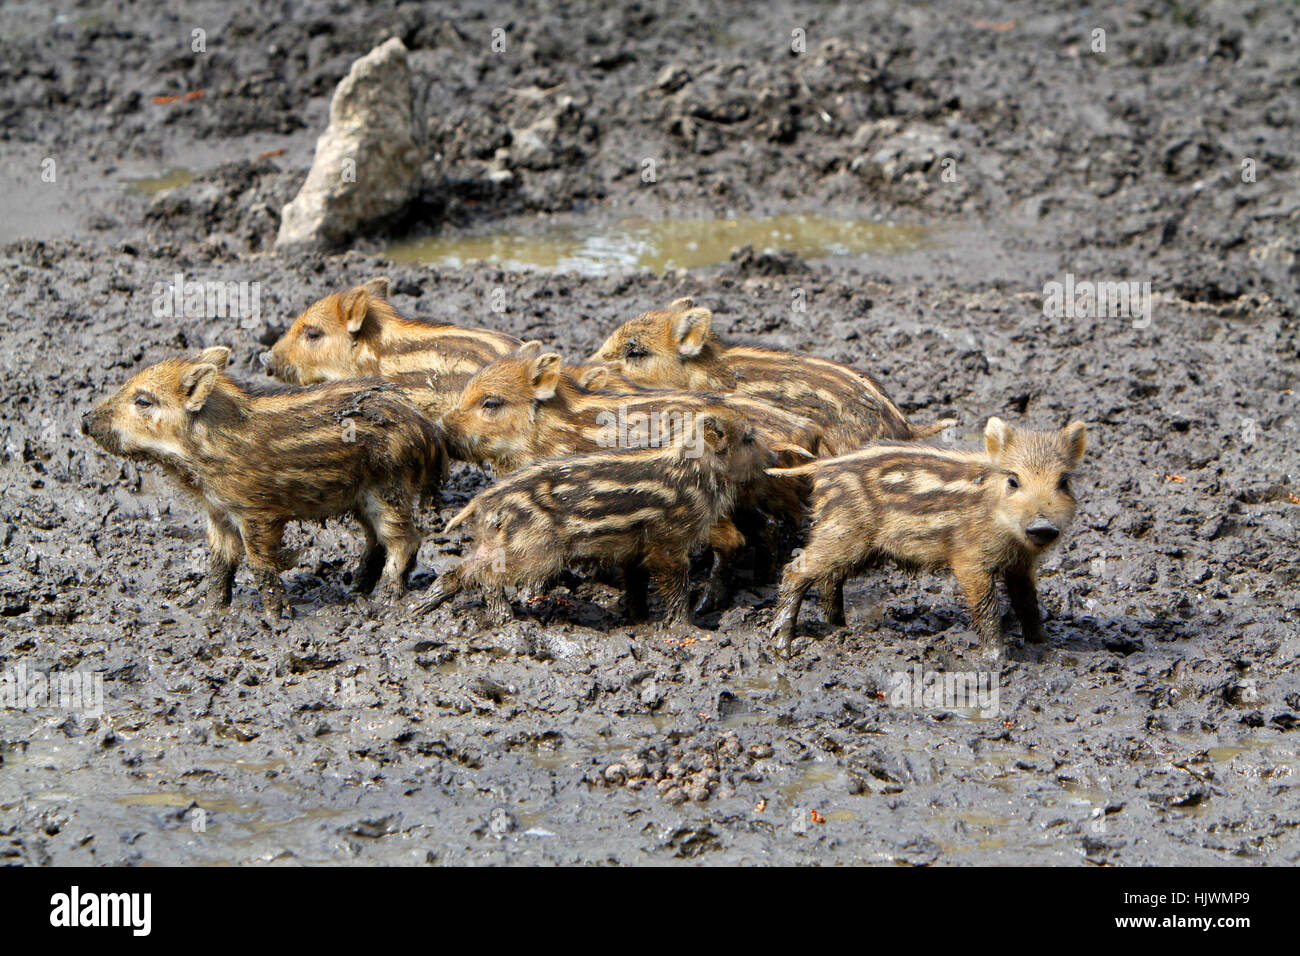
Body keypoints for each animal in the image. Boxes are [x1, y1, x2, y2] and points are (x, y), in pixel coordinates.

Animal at [82, 346, 447, 618]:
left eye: (143, 400)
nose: (84, 419)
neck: (204, 453)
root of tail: (427, 430)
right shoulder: (218, 513)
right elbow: (219, 563)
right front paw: (210, 612)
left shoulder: (258, 512)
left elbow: (260, 565)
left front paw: (276, 618)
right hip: (362, 498)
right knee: (375, 540)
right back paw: (356, 588)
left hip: (389, 488)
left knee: (405, 540)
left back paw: (384, 602)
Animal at [413, 410, 776, 627]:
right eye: (748, 438)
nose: (773, 458)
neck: (696, 472)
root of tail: (483, 501)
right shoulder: (668, 541)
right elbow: (674, 584)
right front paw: (684, 627)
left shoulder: (634, 546)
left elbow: (636, 584)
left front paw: (636, 620)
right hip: (536, 552)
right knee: (488, 574)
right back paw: (499, 616)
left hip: (507, 543)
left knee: (462, 569)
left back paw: (421, 608)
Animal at [767, 417, 1087, 657]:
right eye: (1013, 481)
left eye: (1063, 482)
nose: (1043, 526)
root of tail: (822, 468)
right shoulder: (969, 560)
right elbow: (987, 607)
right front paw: (996, 656)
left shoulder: (1020, 564)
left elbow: (1028, 603)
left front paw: (1045, 644)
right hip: (844, 533)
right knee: (796, 570)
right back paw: (782, 646)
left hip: (858, 546)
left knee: (830, 579)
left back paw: (838, 626)